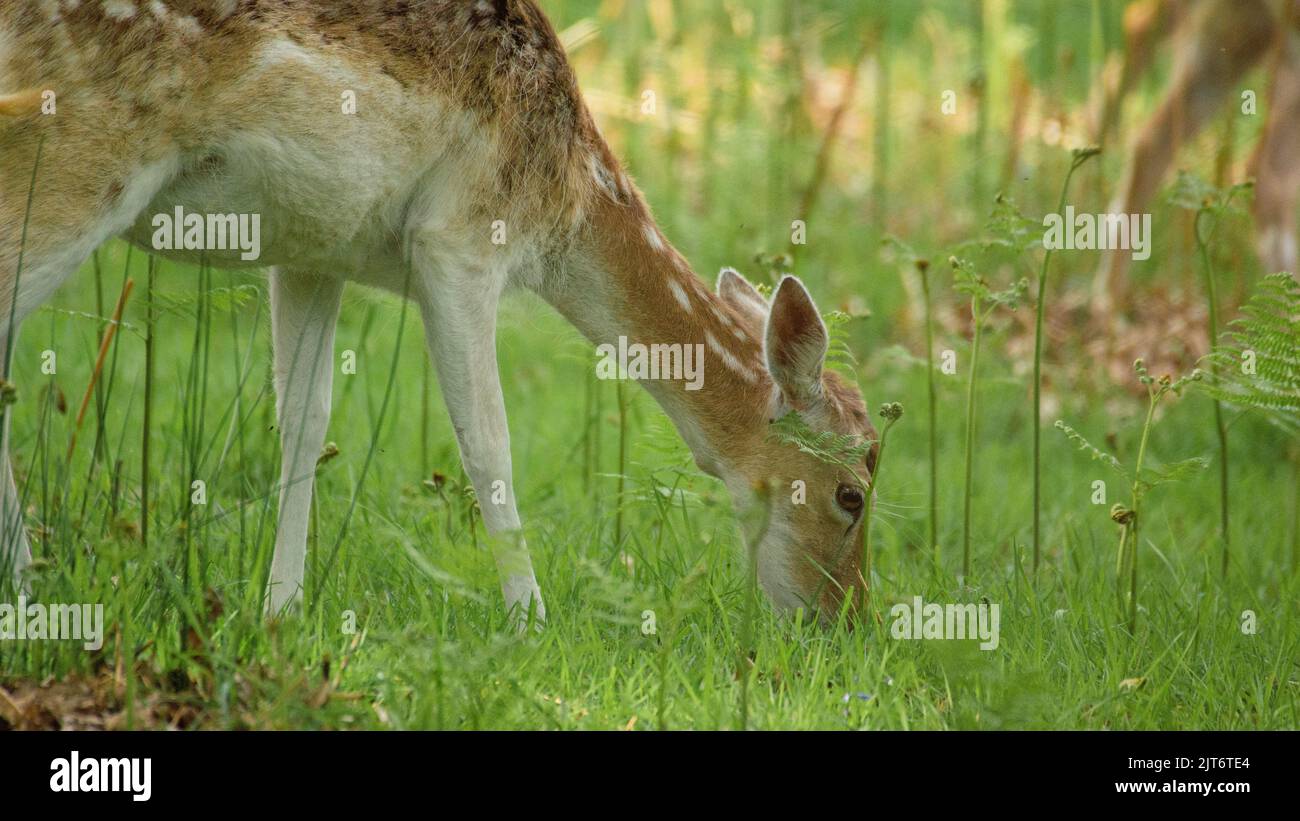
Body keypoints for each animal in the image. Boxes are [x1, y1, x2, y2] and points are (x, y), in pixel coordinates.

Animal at [0, 1, 877, 628]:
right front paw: (532, 621)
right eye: (853, 494)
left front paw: (281, 610)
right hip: (74, 146)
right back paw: (30, 596)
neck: (565, 201)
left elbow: (303, 421)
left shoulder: (313, 246)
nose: (841, 625)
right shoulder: (460, 238)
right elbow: (489, 442)